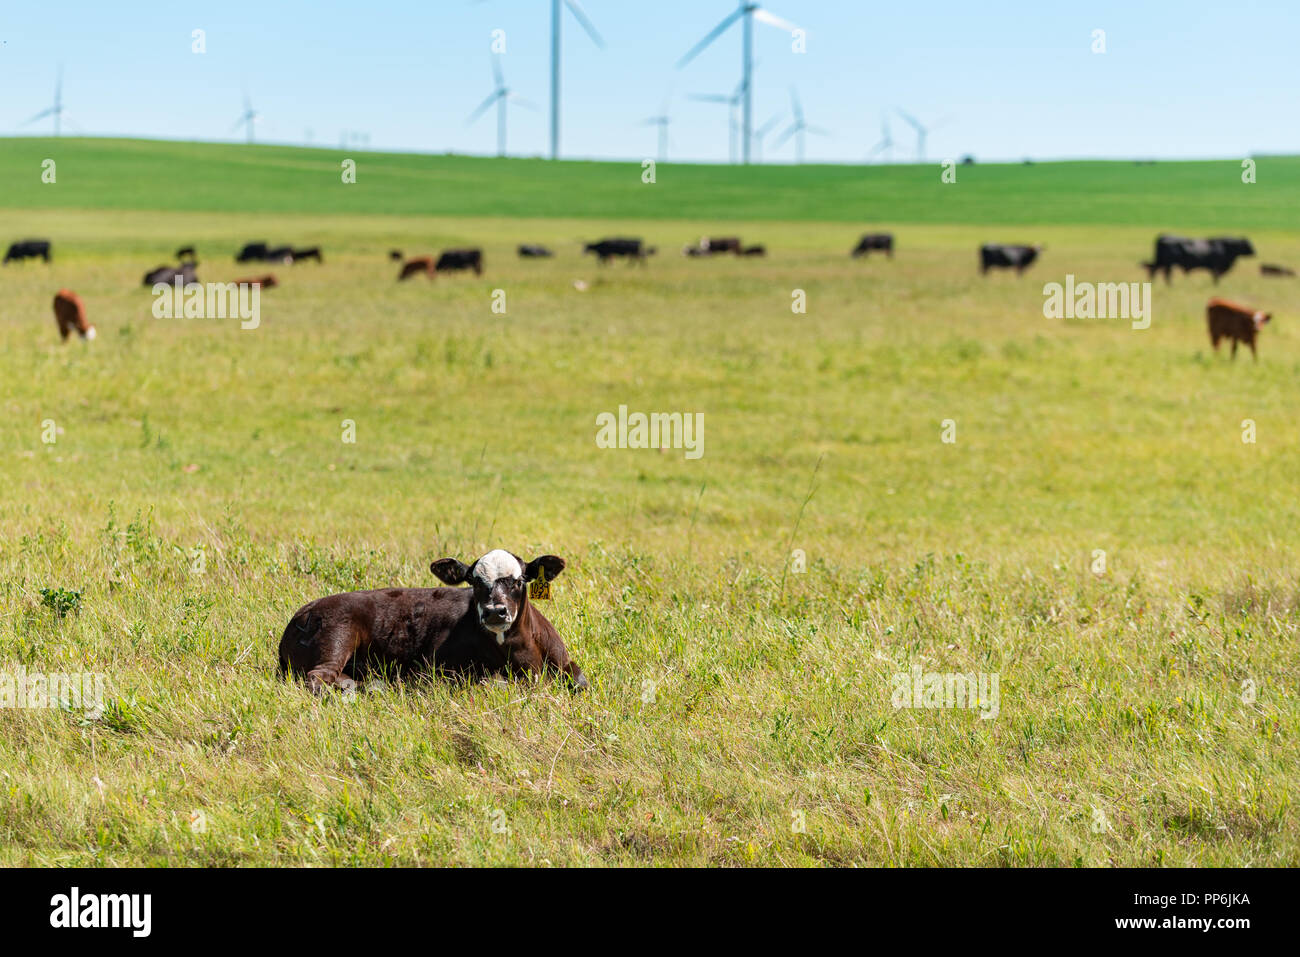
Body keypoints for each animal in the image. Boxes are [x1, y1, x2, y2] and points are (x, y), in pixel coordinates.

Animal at [278, 549, 586, 695]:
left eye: (520, 580)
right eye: (474, 580)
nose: (494, 612)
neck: (524, 657)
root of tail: (302, 612)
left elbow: (580, 680)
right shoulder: (436, 669)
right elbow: (494, 682)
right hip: (337, 636)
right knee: (317, 679)